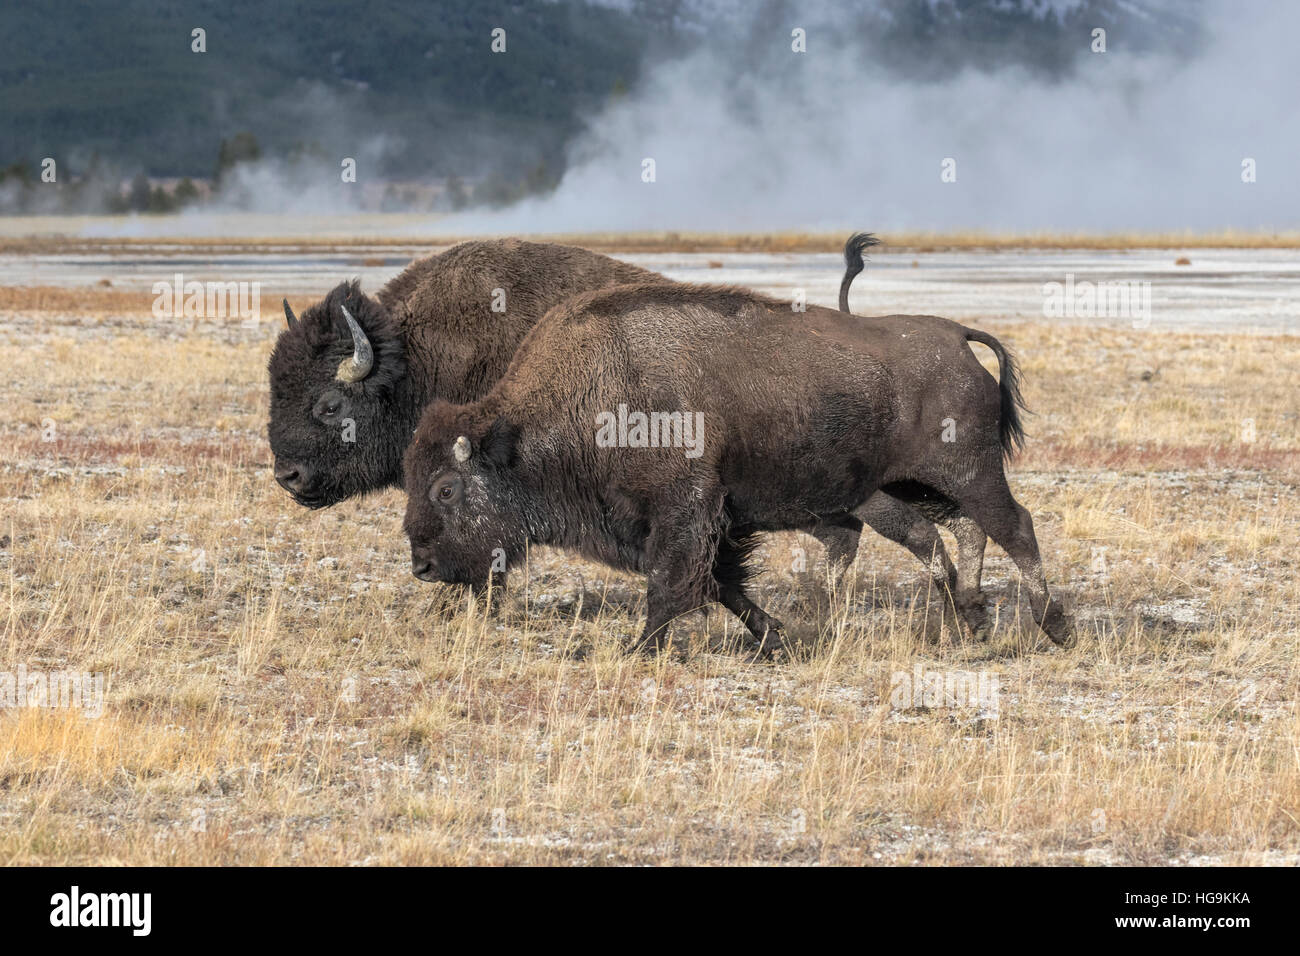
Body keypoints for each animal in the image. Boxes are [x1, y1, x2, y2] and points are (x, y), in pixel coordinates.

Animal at [402, 282, 1073, 654]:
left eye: (446, 488)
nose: (422, 565)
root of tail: (958, 337)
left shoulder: (684, 510)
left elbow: (672, 583)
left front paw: (638, 647)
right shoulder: (711, 520)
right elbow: (723, 584)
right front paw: (776, 637)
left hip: (968, 473)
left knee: (1013, 526)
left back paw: (1054, 625)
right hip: (917, 484)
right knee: (962, 529)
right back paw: (973, 617)